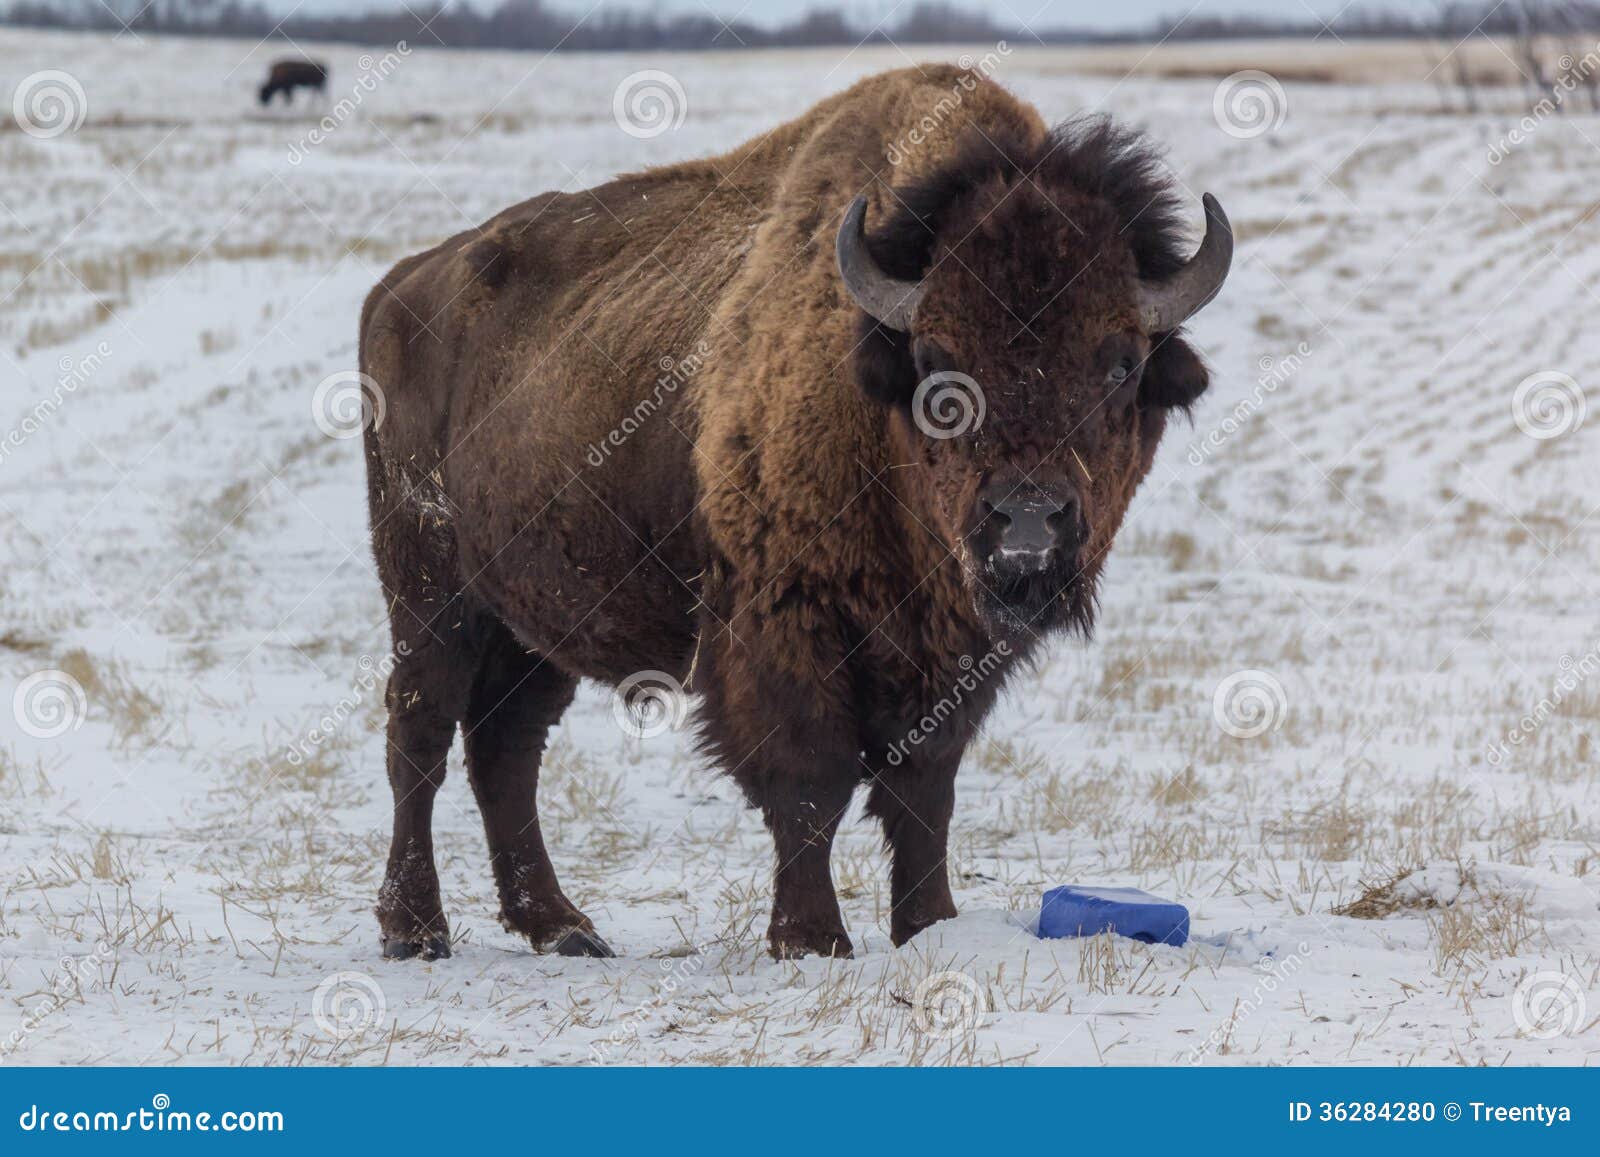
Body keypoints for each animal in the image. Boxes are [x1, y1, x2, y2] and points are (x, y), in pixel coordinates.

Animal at [358, 65, 1231, 961]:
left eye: (1120, 363)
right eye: (937, 362)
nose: (1026, 520)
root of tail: (402, 287)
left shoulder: (953, 655)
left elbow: (925, 791)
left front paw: (929, 925)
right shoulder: (782, 623)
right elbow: (811, 781)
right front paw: (812, 939)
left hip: (532, 618)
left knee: (507, 746)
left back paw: (562, 926)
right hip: (428, 588)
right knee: (421, 735)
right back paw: (417, 930)